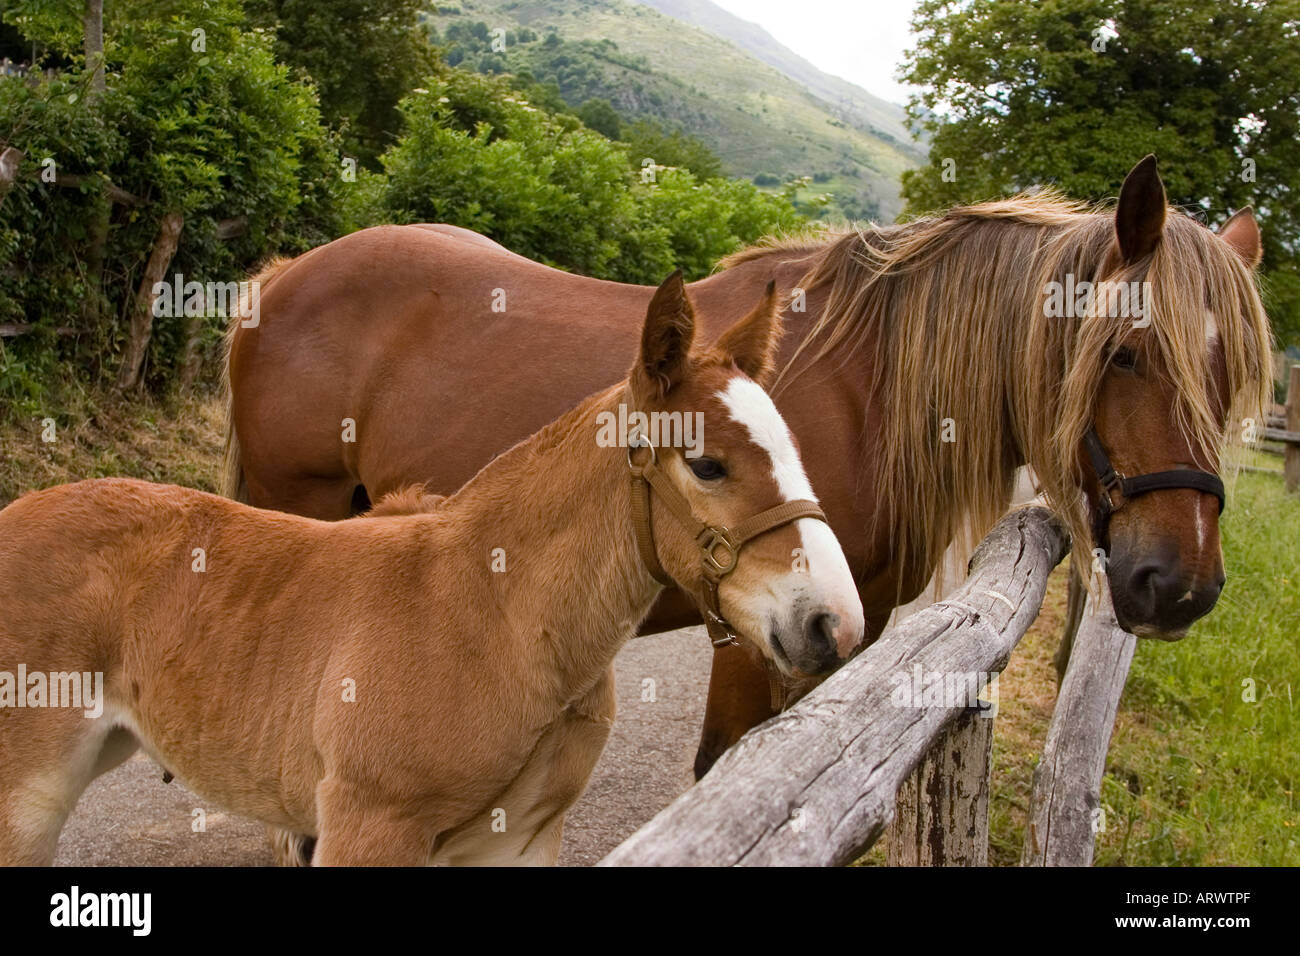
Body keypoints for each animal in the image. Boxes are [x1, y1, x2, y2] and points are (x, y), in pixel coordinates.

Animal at [0, 273, 865, 866]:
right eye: (708, 464)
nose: (834, 622)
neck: (496, 613)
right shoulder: (371, 827)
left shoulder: (519, 843)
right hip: (28, 794)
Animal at [223, 156, 1272, 784]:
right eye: (1127, 354)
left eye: (1231, 379)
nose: (1179, 583)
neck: (867, 384)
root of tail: (281, 276)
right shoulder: (752, 632)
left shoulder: (842, 628)